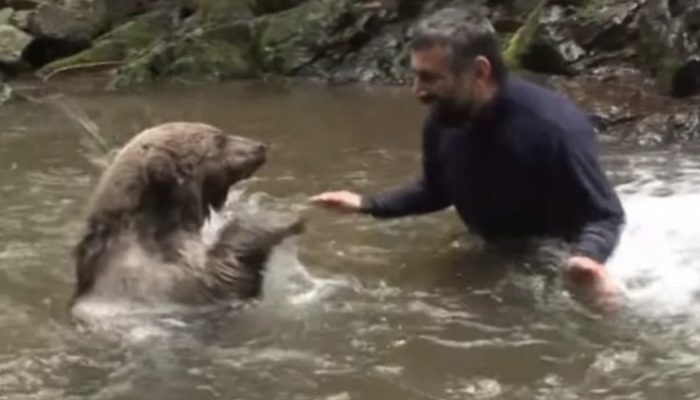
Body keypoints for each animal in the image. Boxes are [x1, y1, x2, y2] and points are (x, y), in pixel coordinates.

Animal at [70, 121, 303, 319]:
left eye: (220, 133)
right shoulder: (153, 284)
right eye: (219, 139)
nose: (260, 147)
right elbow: (219, 274)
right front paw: (280, 219)